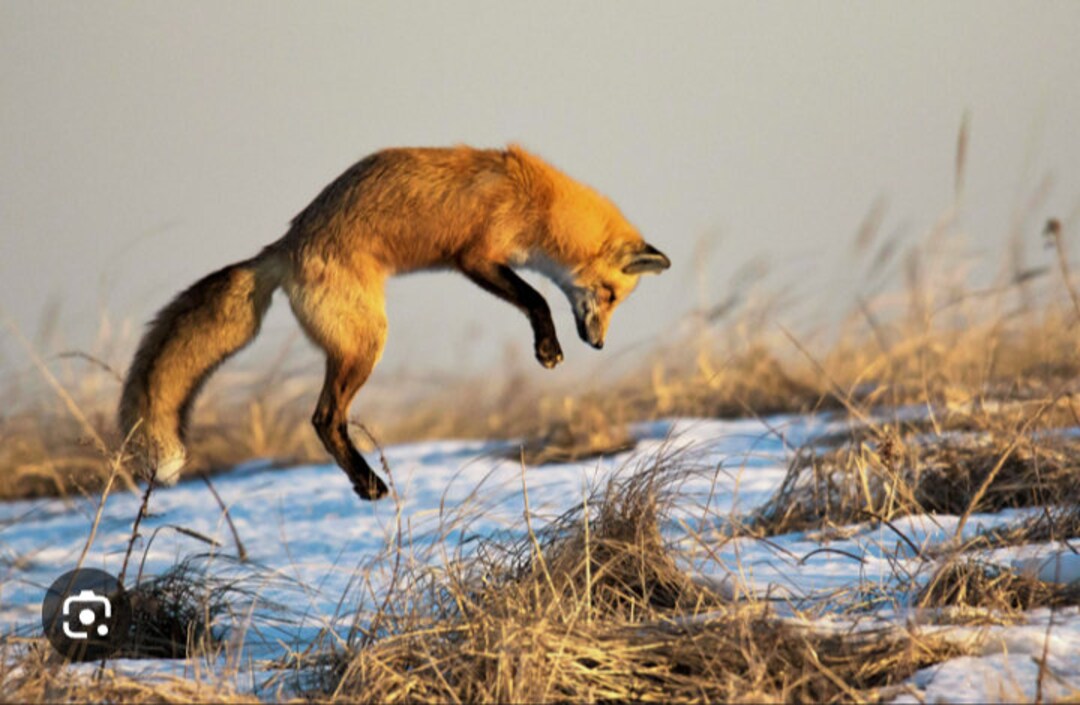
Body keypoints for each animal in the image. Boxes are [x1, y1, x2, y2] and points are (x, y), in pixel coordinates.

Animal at [119, 145, 670, 501]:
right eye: (610, 296)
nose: (598, 346)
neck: (538, 204)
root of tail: (284, 245)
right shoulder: (476, 256)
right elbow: (536, 297)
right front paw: (547, 347)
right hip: (366, 342)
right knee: (324, 417)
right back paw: (368, 484)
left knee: (325, 418)